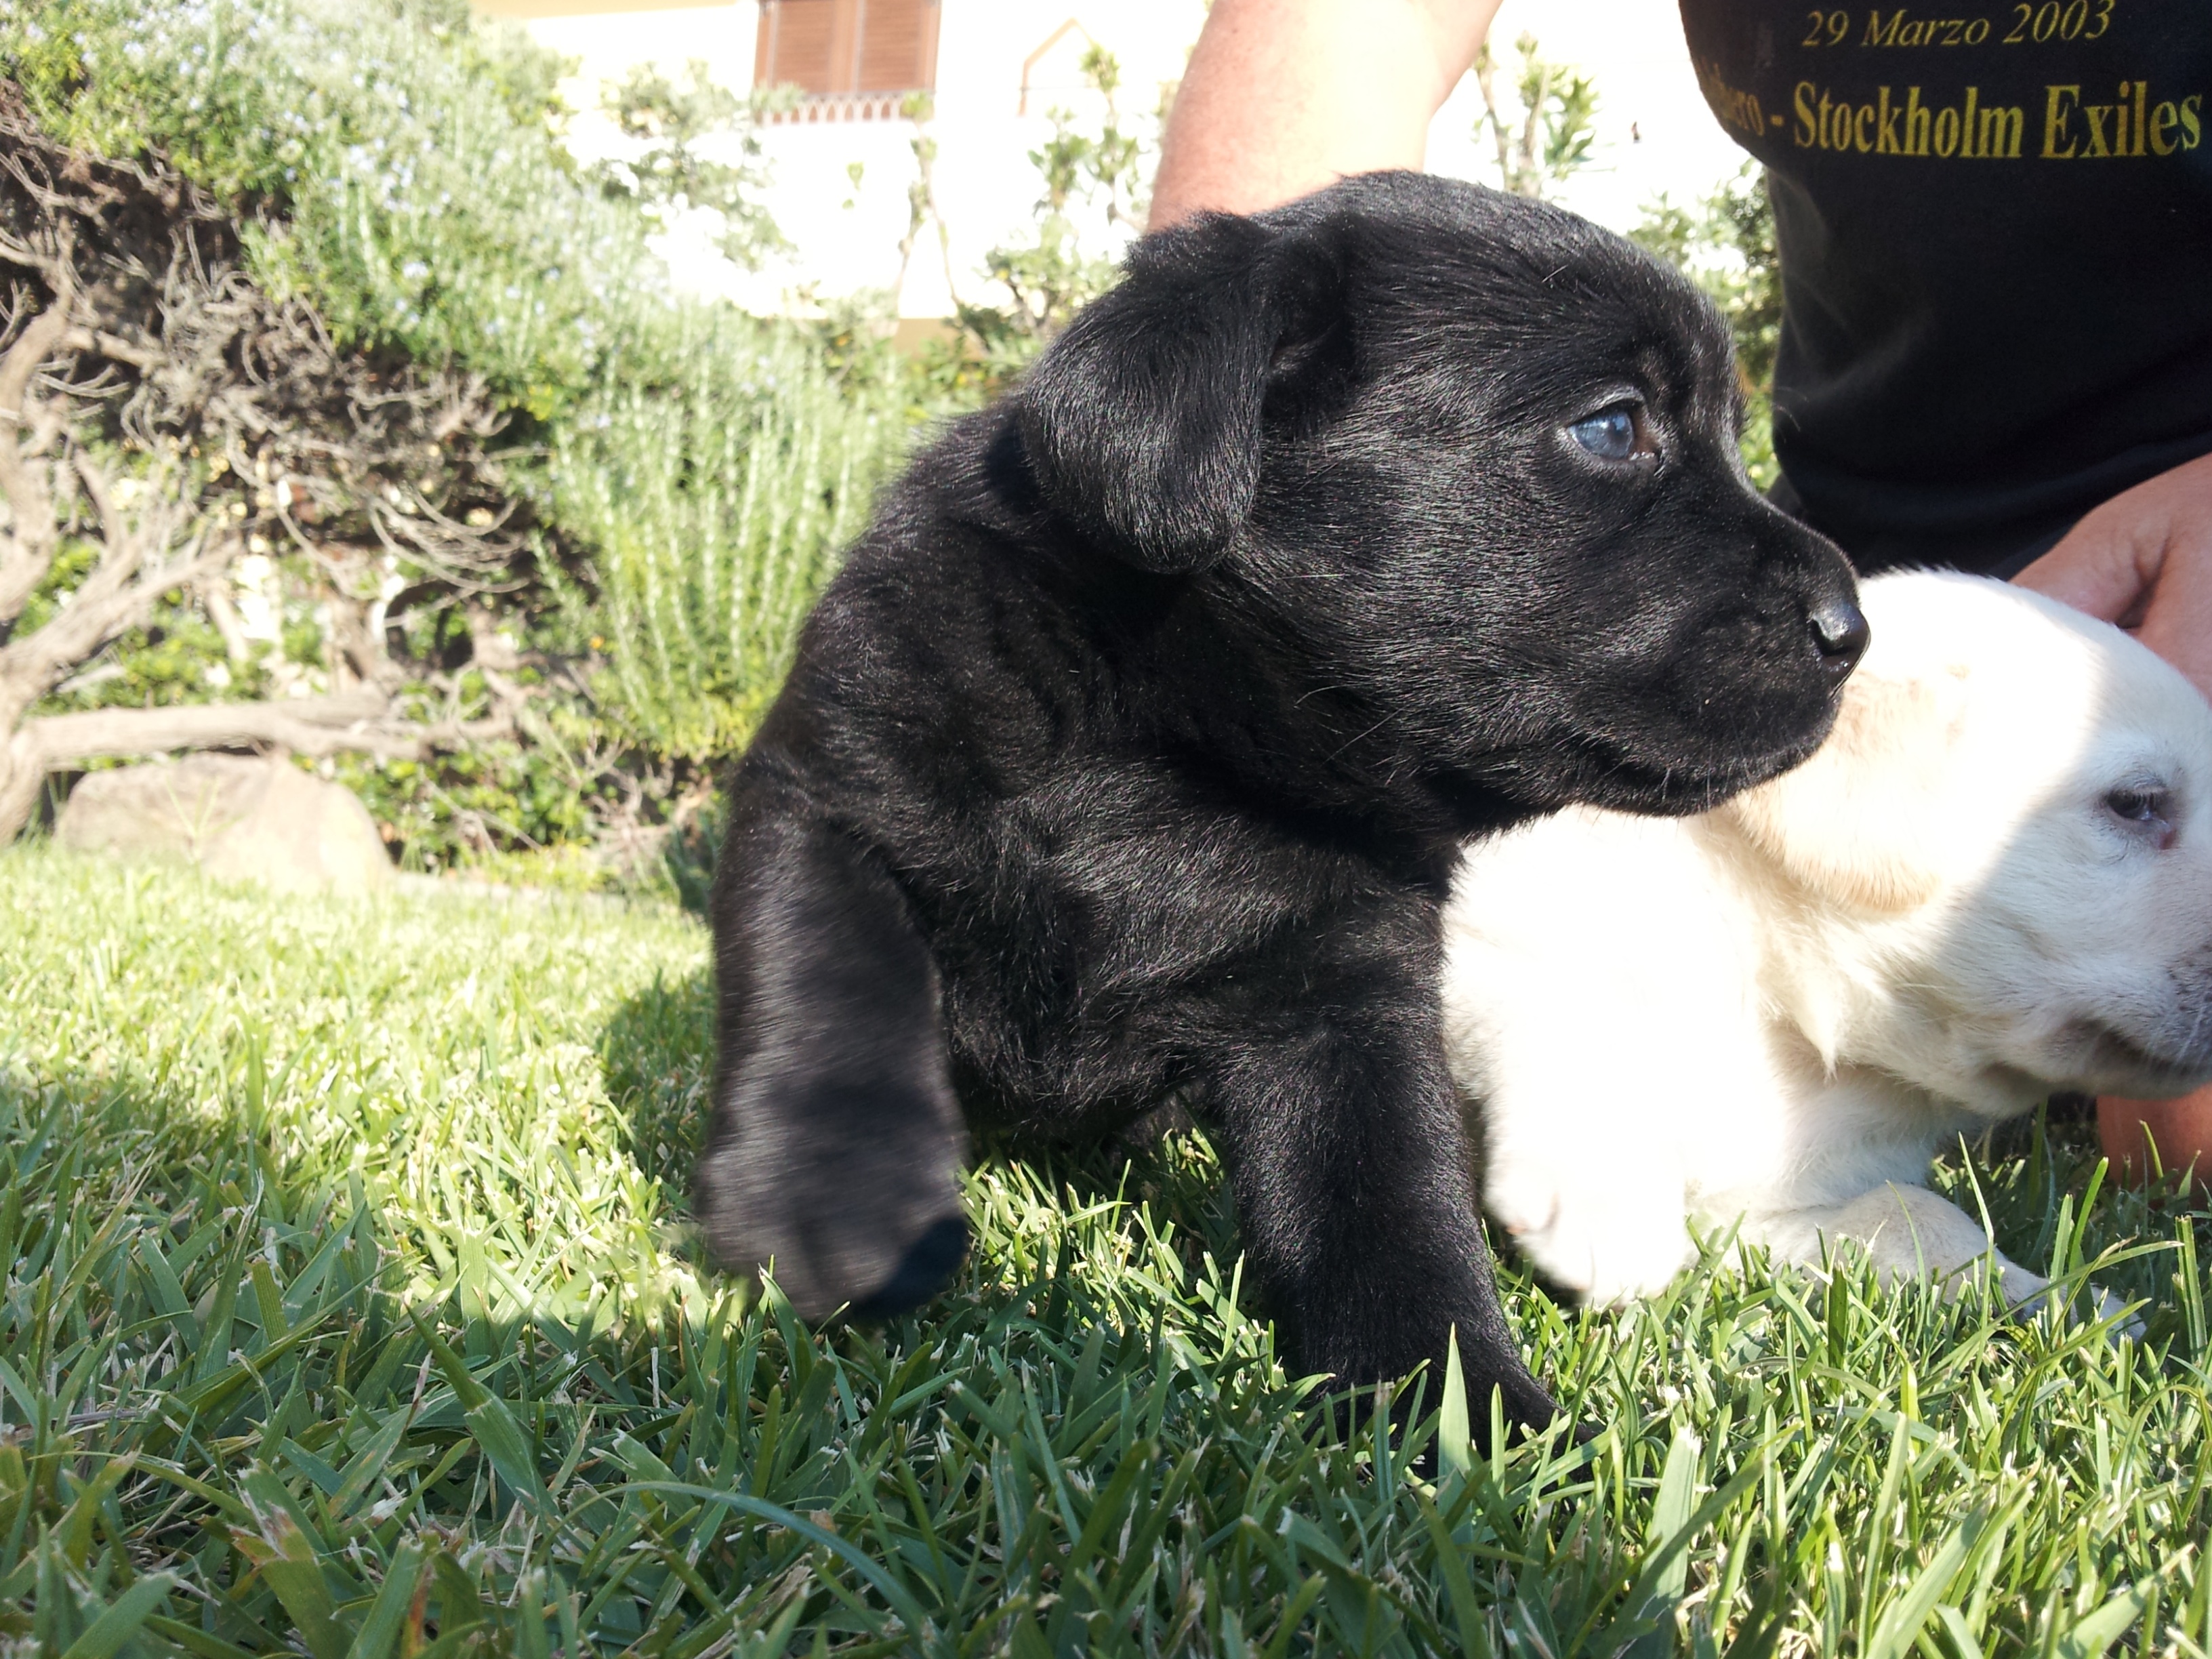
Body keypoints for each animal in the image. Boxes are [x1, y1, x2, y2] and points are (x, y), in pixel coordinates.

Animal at [694, 172, 1866, 1442]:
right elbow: (835, 990)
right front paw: (845, 1206)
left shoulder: (1343, 985)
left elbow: (1386, 1194)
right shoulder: (831, 788)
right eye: (1614, 426)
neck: (1180, 739)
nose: (1851, 627)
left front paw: (1460, 1412)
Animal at [1442, 579, 2203, 1318]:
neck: (1770, 992)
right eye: (2135, 802)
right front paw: (1605, 1198)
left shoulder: (1753, 1217)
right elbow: (1559, 1001)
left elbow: (1914, 1215)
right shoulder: (1465, 931)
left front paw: (2060, 1301)